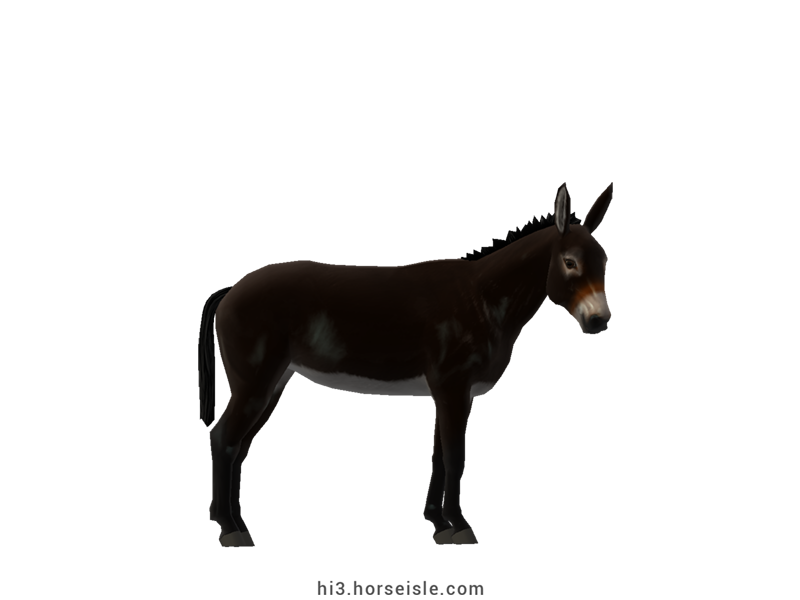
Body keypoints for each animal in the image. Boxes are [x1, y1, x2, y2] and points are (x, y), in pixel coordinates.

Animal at [199, 184, 612, 545]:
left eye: (604, 260)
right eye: (570, 262)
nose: (598, 319)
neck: (480, 297)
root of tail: (232, 291)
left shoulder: (447, 389)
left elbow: (441, 455)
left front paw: (439, 524)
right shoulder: (452, 383)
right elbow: (456, 455)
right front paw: (460, 527)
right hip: (252, 383)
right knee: (223, 440)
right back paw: (231, 530)